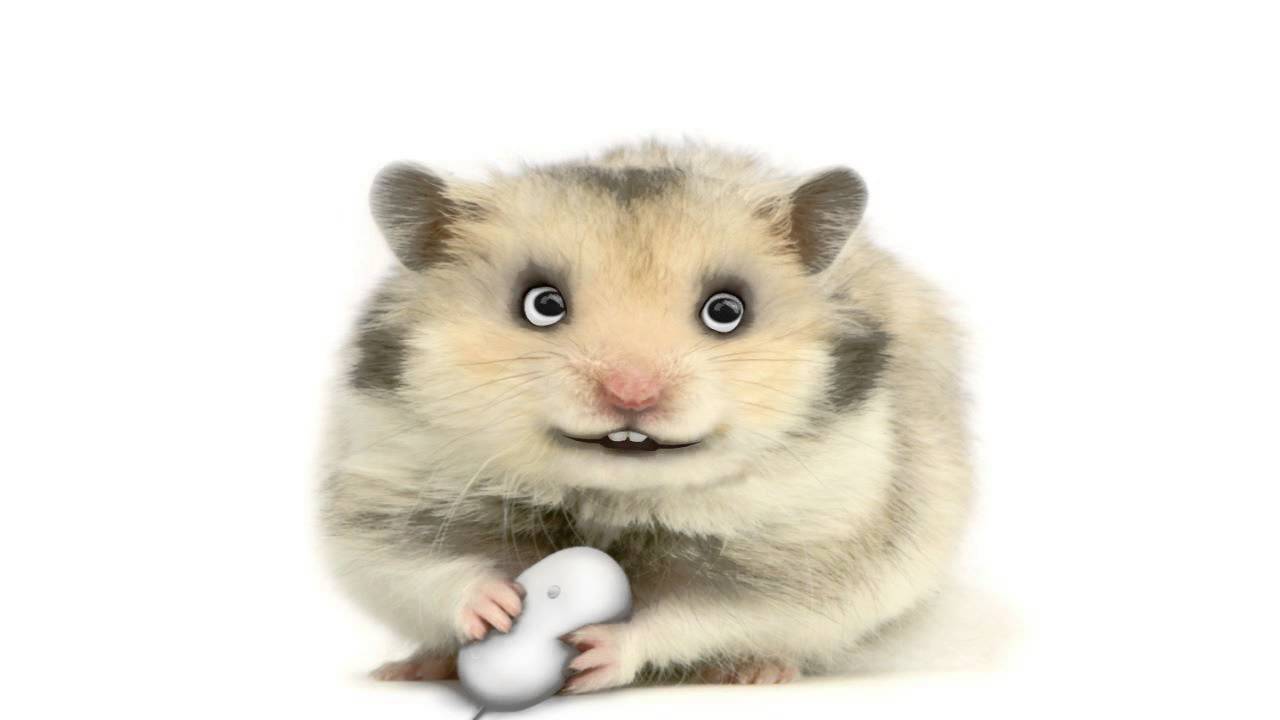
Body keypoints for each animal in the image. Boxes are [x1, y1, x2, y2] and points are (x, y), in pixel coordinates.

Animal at [319, 141, 972, 691]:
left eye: (726, 311)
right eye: (541, 304)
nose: (632, 395)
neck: (613, 495)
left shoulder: (801, 548)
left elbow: (692, 614)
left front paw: (598, 654)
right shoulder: (389, 501)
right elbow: (433, 569)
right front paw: (498, 609)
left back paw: (758, 672)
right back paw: (410, 669)